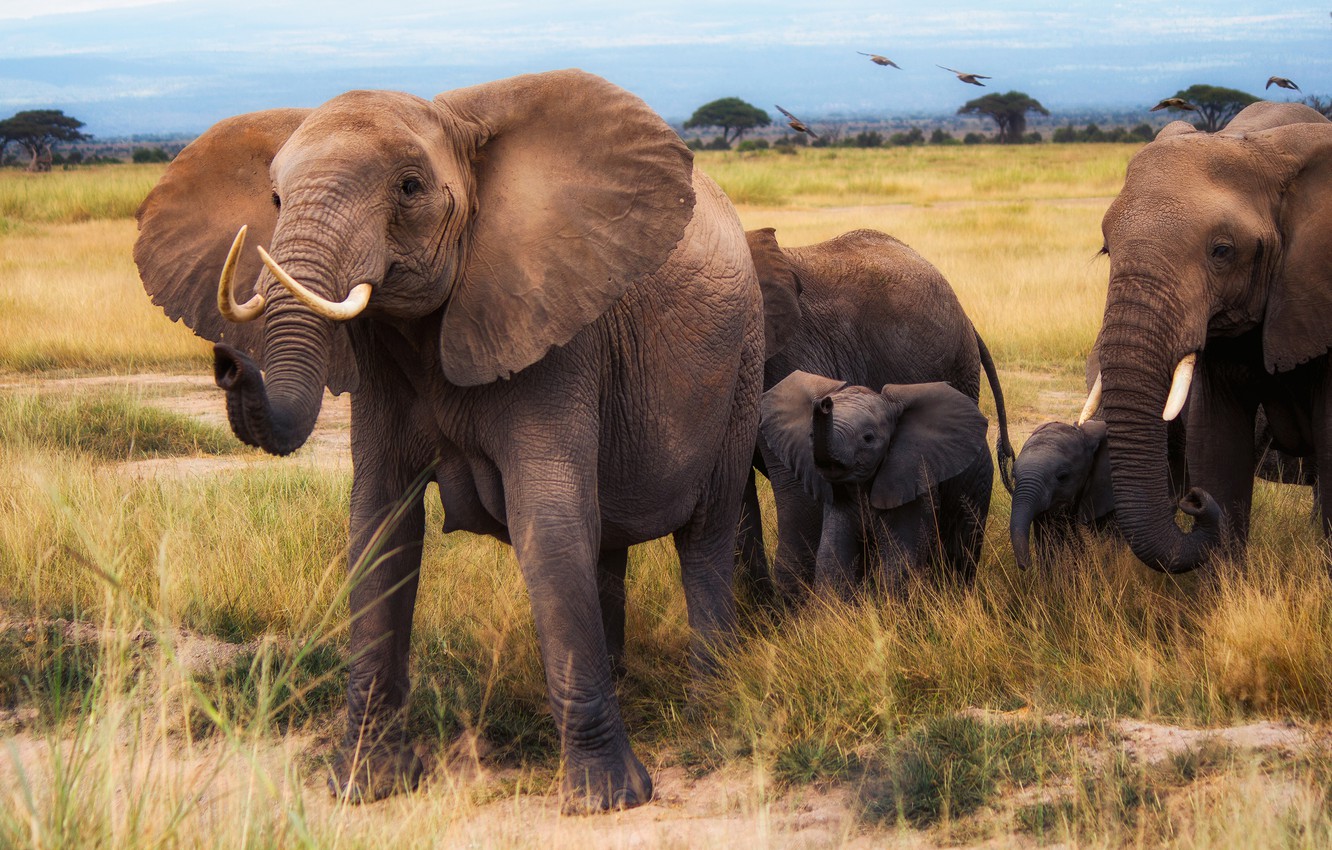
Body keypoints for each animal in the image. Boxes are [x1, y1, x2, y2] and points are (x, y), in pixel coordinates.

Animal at [133, 70, 767, 812]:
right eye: (274, 199)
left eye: (409, 187)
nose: (230, 361)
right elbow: (379, 528)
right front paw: (363, 787)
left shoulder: (553, 327)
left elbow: (547, 524)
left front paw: (608, 800)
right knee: (606, 543)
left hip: (741, 364)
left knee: (705, 538)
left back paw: (708, 710)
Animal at [759, 371, 991, 597]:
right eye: (810, 435)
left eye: (868, 438)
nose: (824, 403)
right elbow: (832, 557)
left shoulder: (912, 484)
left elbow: (900, 560)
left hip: (976, 484)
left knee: (960, 550)